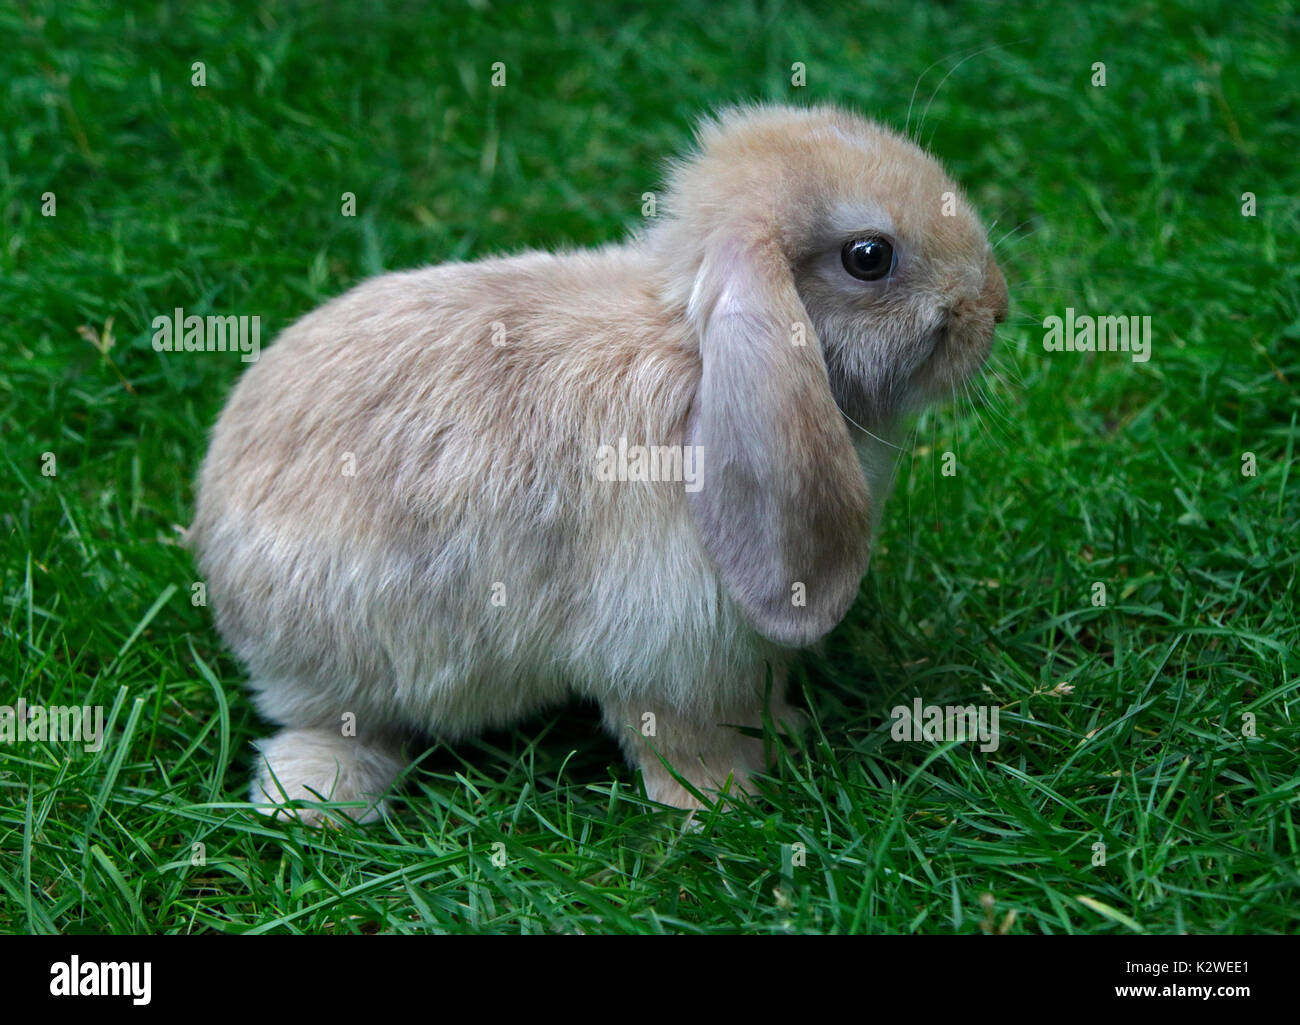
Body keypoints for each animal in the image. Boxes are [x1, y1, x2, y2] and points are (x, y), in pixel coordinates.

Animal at [188, 102, 1009, 823]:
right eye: (869, 257)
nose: (996, 306)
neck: (695, 359)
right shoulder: (673, 654)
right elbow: (685, 741)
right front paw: (720, 807)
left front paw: (787, 732)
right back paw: (321, 798)